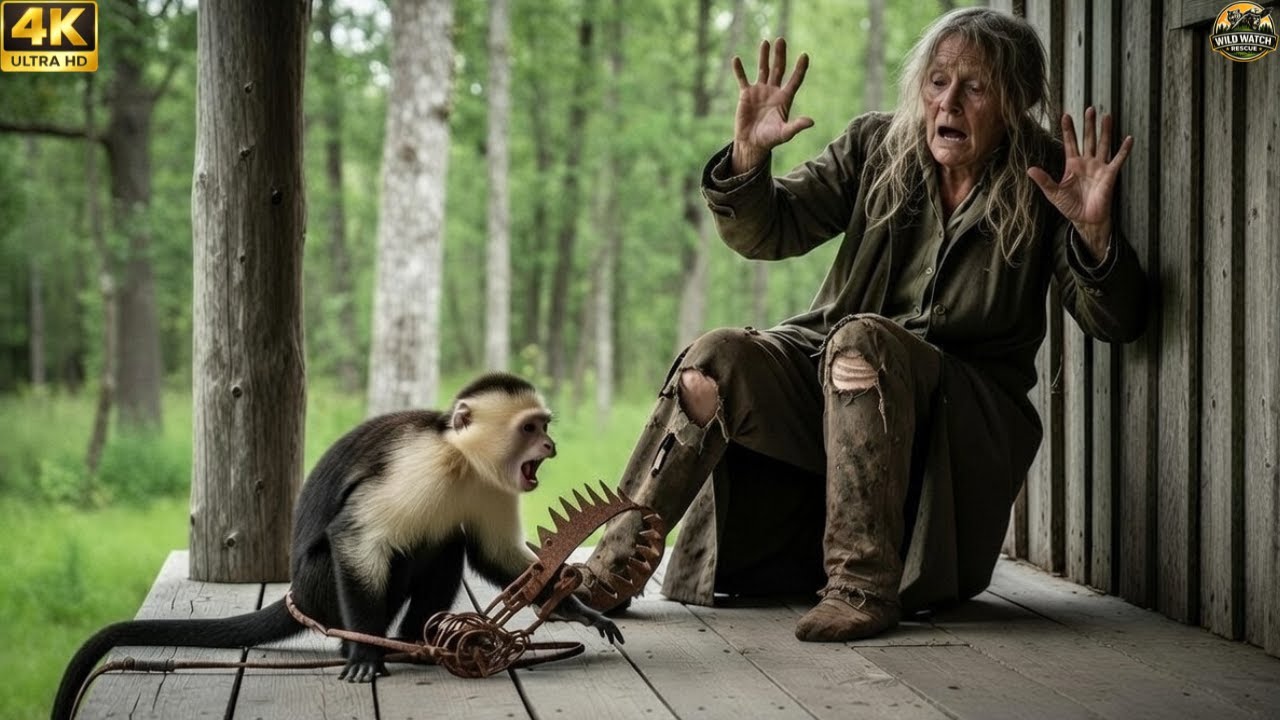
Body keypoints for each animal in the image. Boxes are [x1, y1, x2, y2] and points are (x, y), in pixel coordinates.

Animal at [52, 373, 622, 720]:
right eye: (530, 428)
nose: (551, 446)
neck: (460, 459)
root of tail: (297, 595)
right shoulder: (418, 464)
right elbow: (355, 538)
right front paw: (365, 655)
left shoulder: (492, 485)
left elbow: (495, 556)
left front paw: (577, 608)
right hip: (323, 589)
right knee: (399, 548)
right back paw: (366, 644)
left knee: (445, 545)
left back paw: (417, 642)